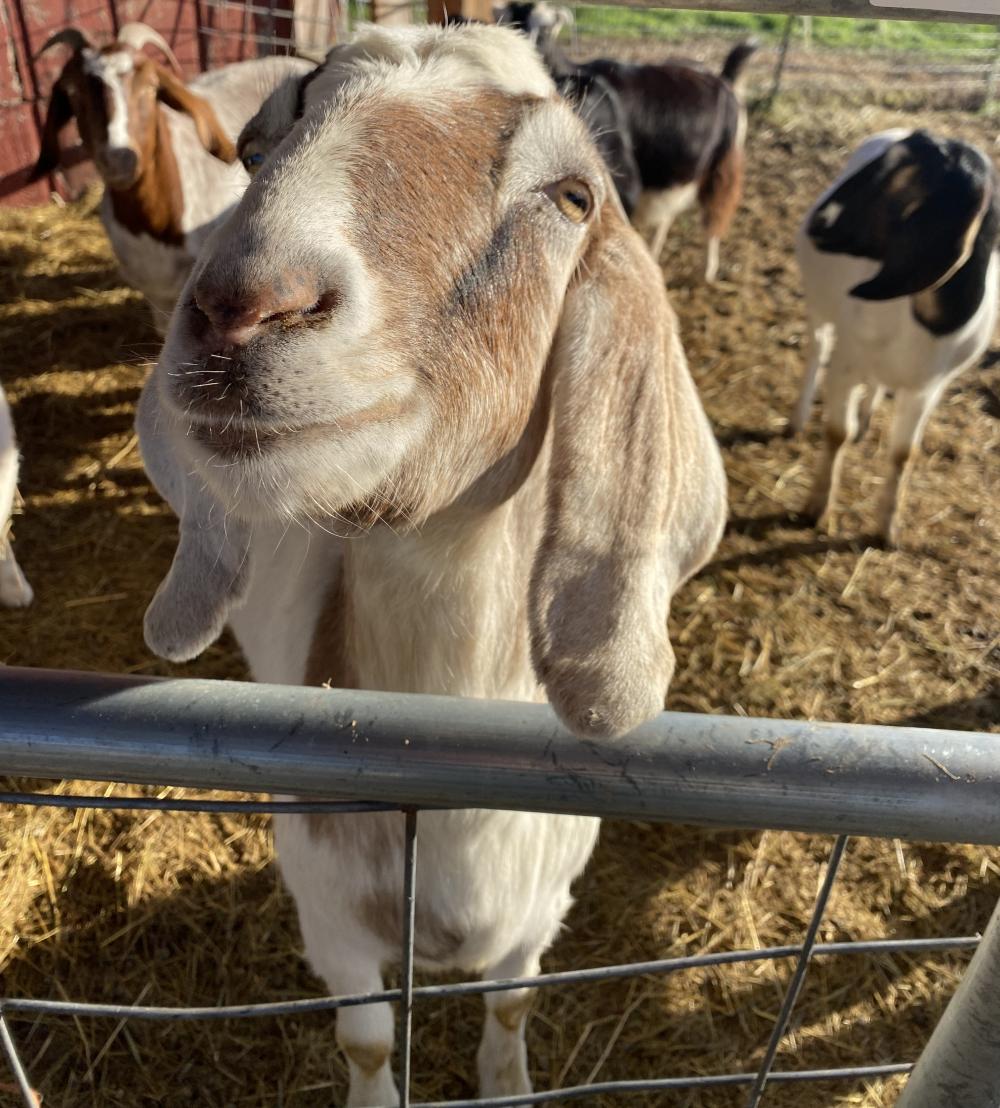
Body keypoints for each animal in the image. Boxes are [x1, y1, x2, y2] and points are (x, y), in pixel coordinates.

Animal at [136, 23, 726, 1104]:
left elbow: (513, 1002)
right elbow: (369, 1041)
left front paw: (507, 1081)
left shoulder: (544, 904)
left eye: (573, 195)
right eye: (254, 149)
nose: (243, 306)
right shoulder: (327, 914)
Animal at [793, 128, 999, 547]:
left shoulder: (928, 389)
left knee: (877, 382)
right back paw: (799, 420)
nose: (818, 223)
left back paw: (867, 418)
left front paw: (888, 529)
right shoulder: (846, 362)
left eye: (900, 177)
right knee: (818, 349)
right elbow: (836, 431)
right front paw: (816, 507)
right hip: (821, 306)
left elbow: (904, 453)